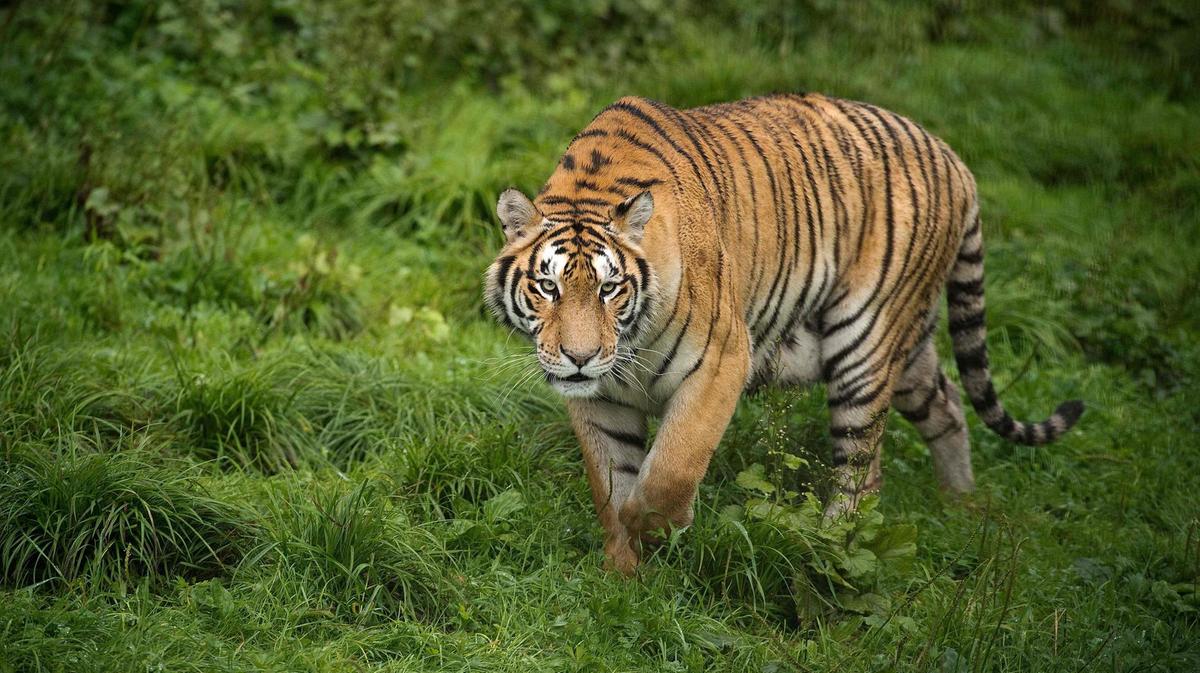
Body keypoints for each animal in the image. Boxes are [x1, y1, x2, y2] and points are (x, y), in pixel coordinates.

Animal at [484, 93, 1083, 575]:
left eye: (610, 289)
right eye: (548, 286)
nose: (580, 358)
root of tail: (953, 157)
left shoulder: (721, 361)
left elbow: (671, 468)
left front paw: (653, 528)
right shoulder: (599, 399)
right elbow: (609, 481)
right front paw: (622, 574)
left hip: (864, 342)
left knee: (862, 473)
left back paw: (828, 546)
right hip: (910, 350)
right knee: (950, 404)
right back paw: (959, 503)